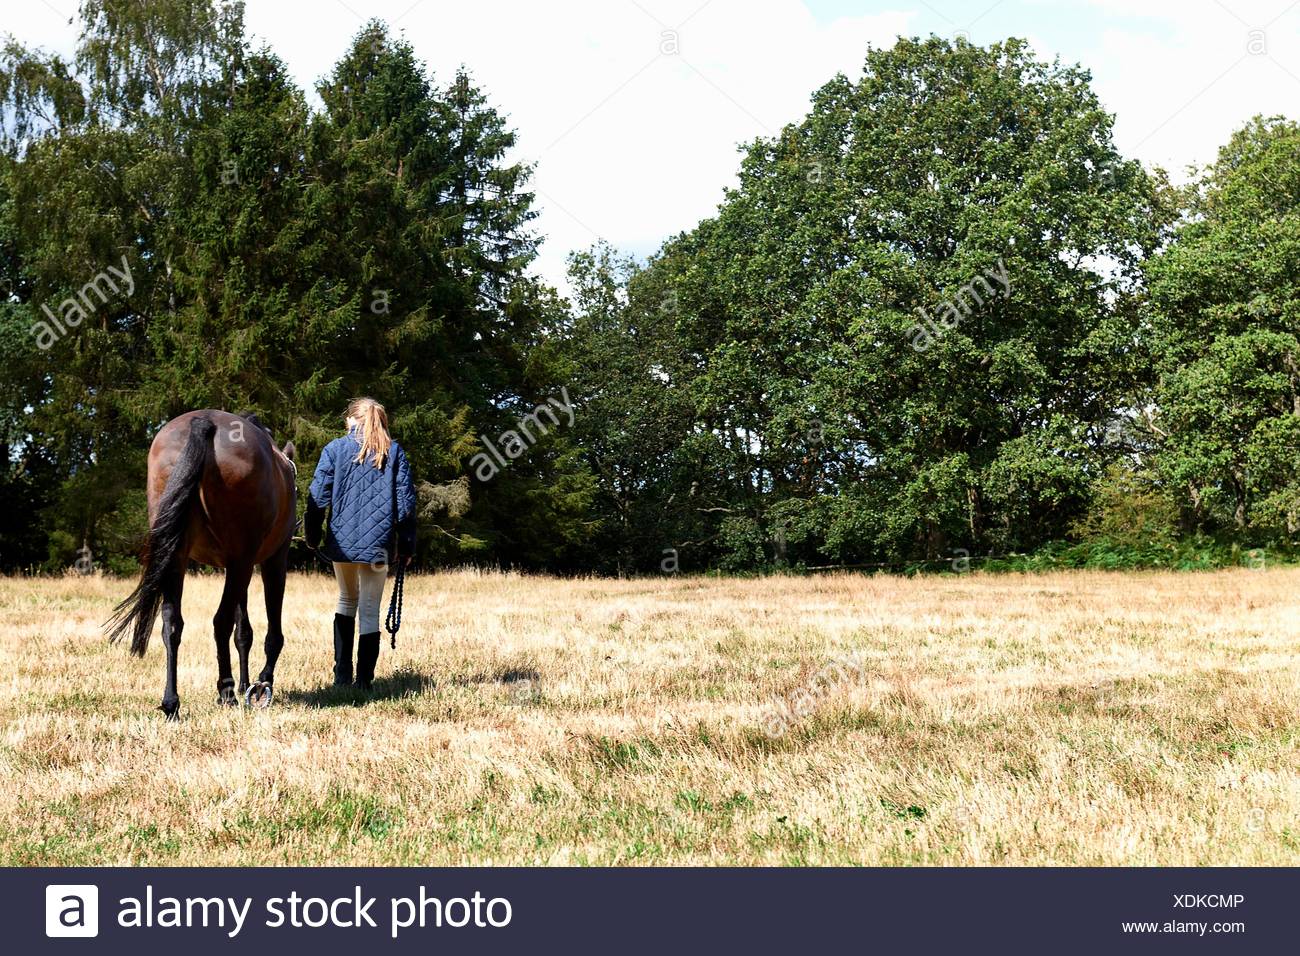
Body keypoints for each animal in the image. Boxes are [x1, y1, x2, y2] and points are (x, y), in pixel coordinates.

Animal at [106, 409, 298, 718]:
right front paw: (261, 684)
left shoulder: (236, 566)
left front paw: (246, 683)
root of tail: (204, 422)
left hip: (179, 555)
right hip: (243, 560)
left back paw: (172, 702)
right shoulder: (272, 560)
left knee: (172, 623)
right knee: (220, 621)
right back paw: (226, 690)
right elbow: (270, 632)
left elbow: (243, 631)